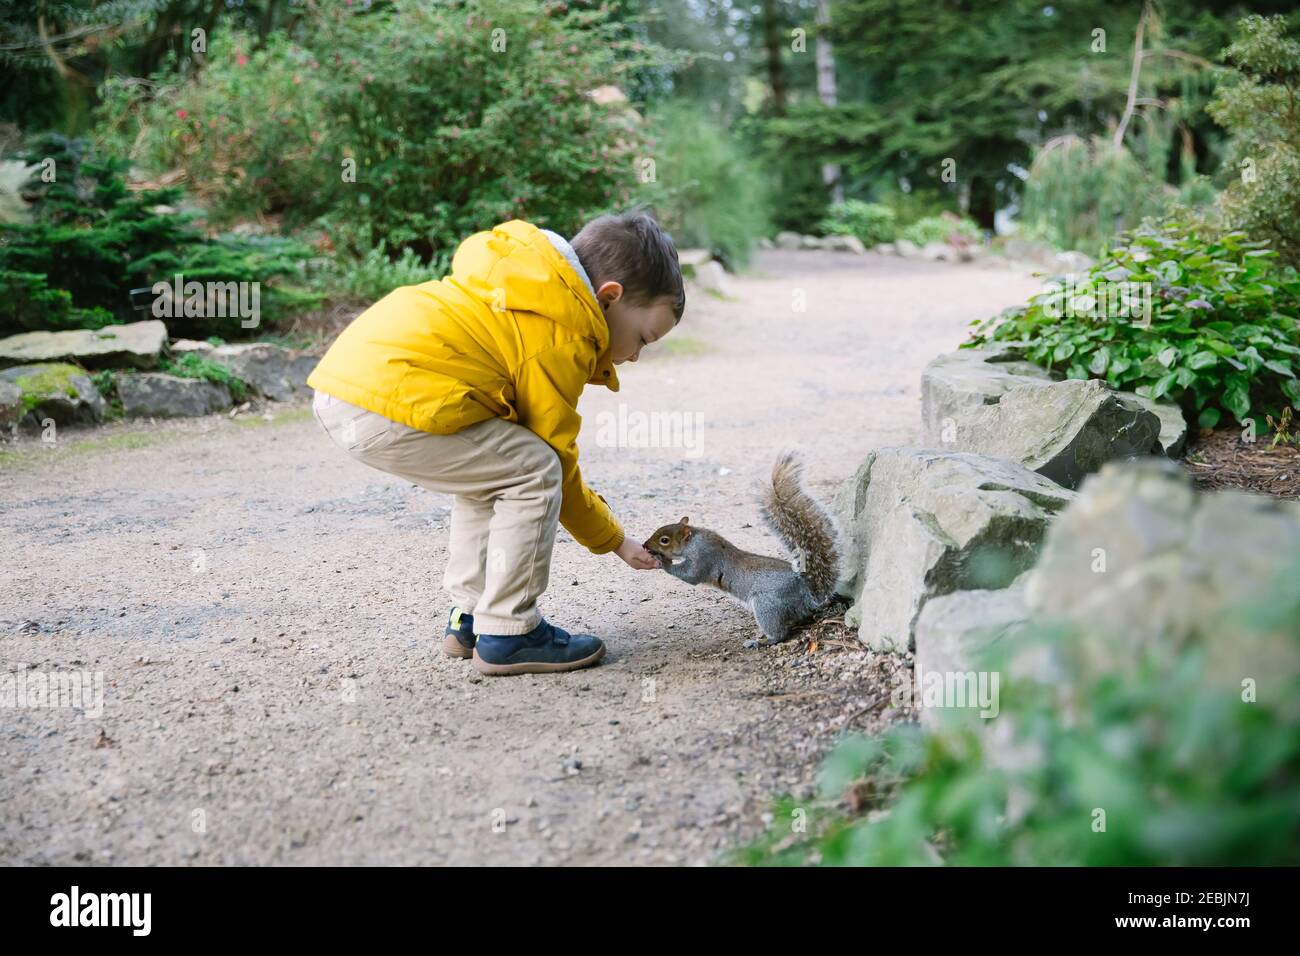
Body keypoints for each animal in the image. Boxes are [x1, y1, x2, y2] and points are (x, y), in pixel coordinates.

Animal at [642, 451, 842, 648]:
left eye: (664, 540)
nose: (645, 545)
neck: (694, 540)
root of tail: (808, 597)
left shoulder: (704, 557)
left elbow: (691, 575)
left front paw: (663, 561)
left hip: (767, 605)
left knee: (780, 632)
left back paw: (762, 641)